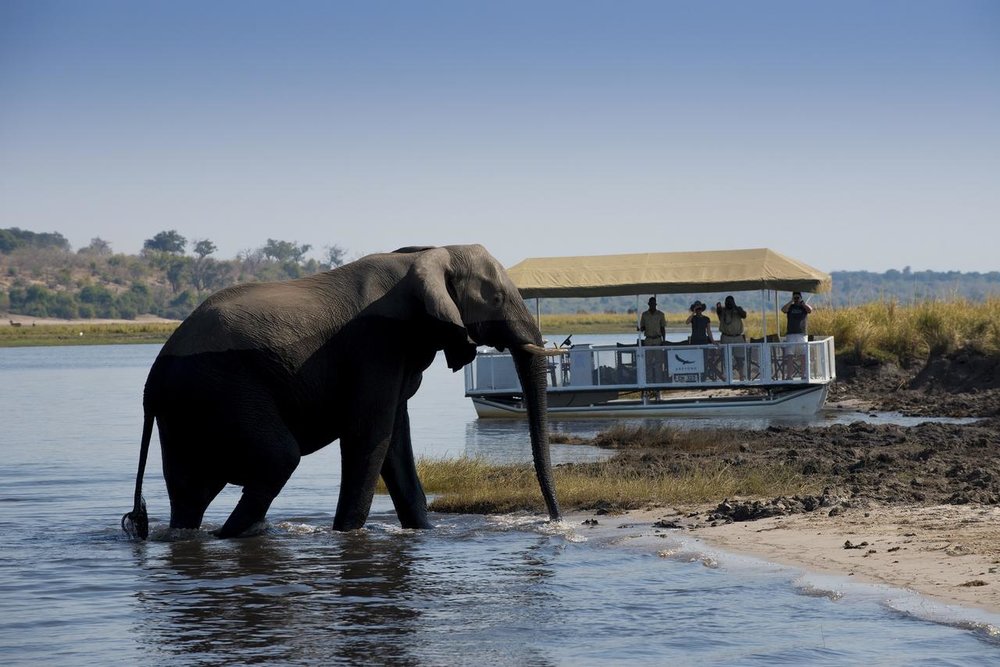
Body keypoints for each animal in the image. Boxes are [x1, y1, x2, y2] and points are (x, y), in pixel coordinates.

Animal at [122, 244, 562, 539]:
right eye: (498, 297)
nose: (555, 523)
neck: (430, 252)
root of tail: (150, 382)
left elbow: (394, 441)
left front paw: (422, 533)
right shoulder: (376, 343)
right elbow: (370, 435)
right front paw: (347, 536)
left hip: (188, 409)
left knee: (189, 490)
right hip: (221, 391)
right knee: (278, 459)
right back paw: (232, 535)